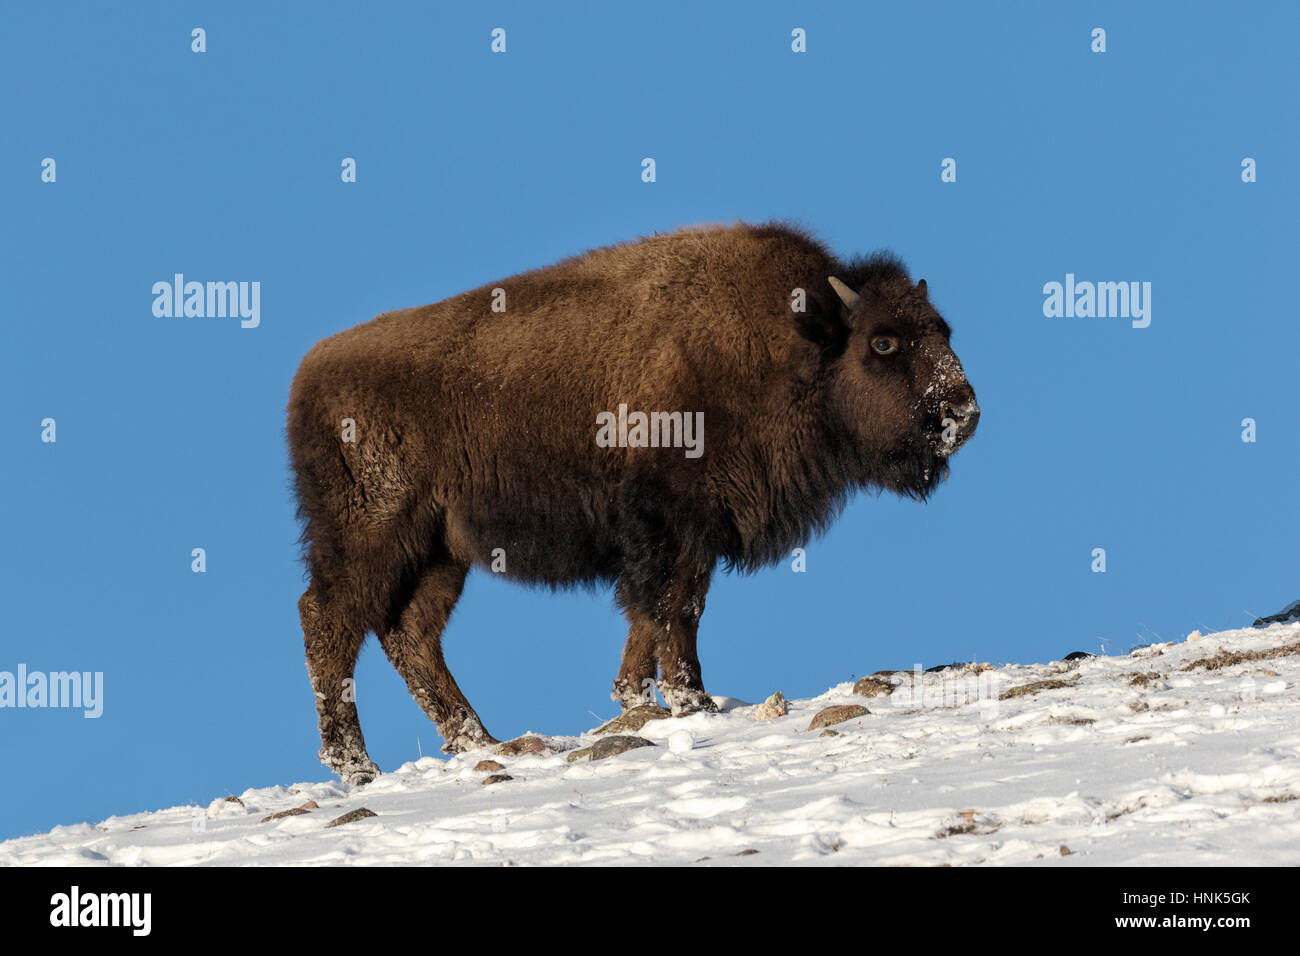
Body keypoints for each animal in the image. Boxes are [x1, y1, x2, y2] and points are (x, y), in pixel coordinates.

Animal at [287, 221, 978, 783]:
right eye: (883, 344)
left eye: (942, 330)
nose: (962, 411)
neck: (792, 337)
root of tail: (310, 374)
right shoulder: (675, 521)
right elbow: (678, 608)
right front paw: (691, 700)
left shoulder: (687, 532)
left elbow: (656, 612)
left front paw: (638, 700)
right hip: (373, 534)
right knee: (329, 619)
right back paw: (358, 767)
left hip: (440, 553)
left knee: (411, 635)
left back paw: (481, 740)